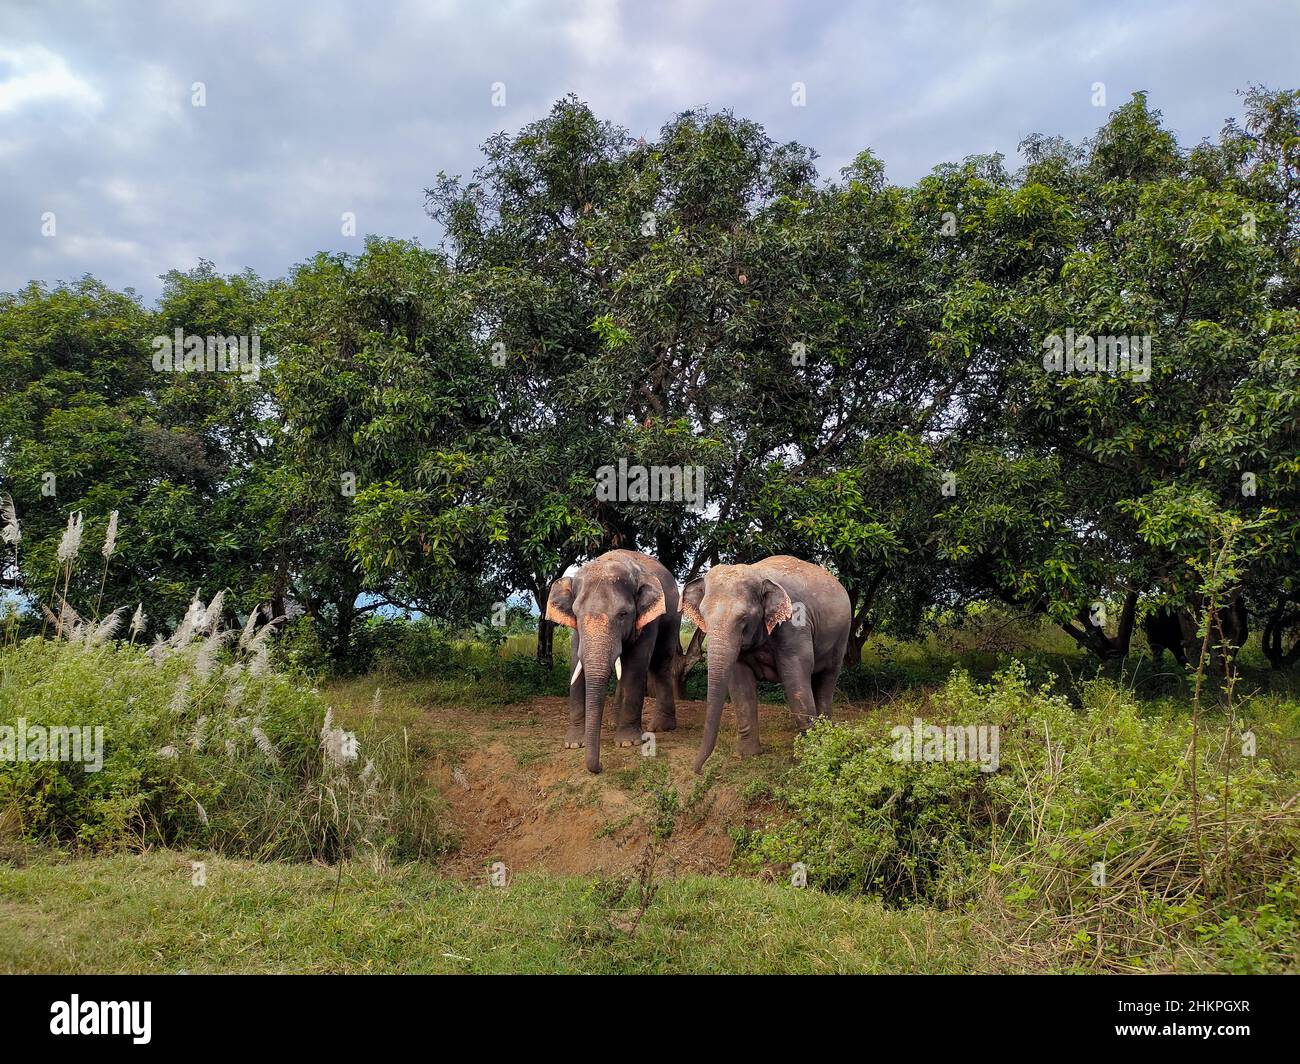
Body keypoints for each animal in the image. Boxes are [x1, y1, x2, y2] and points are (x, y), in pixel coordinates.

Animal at [546, 550, 682, 774]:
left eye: (623, 614)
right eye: (576, 613)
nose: (600, 766)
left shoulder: (647, 620)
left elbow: (636, 667)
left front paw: (628, 742)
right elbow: (576, 663)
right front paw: (573, 743)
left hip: (673, 618)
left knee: (660, 663)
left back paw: (660, 727)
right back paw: (612, 722)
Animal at [682, 555, 851, 773]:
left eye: (743, 618)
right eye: (703, 616)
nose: (698, 770)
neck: (758, 573)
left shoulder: (795, 624)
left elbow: (795, 676)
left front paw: (810, 754)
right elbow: (740, 684)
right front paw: (747, 755)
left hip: (842, 635)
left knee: (827, 678)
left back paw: (826, 734)